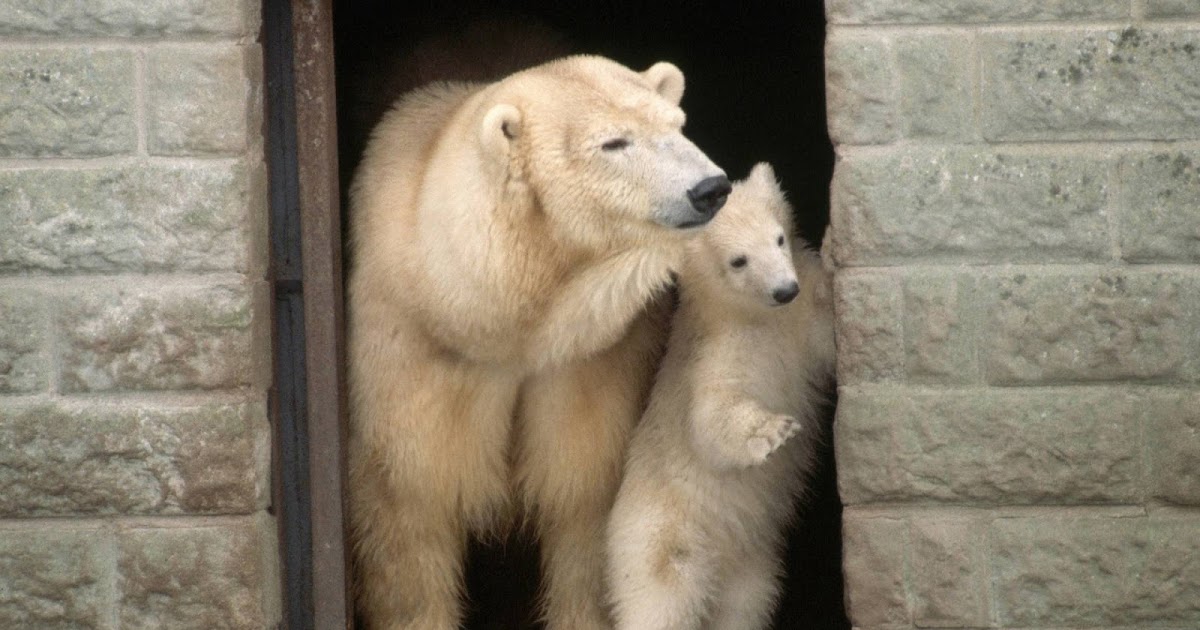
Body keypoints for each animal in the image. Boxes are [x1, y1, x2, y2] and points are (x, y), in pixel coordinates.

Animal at [346, 55, 731, 630]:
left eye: (677, 124)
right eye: (614, 142)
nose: (711, 188)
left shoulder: (587, 361)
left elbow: (580, 499)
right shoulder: (409, 350)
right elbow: (412, 515)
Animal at [605, 163, 836, 630]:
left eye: (778, 238)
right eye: (738, 260)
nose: (785, 289)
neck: (757, 318)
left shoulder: (800, 329)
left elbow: (827, 337)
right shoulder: (712, 355)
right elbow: (711, 419)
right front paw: (773, 432)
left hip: (752, 562)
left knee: (746, 604)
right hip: (661, 543)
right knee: (659, 604)